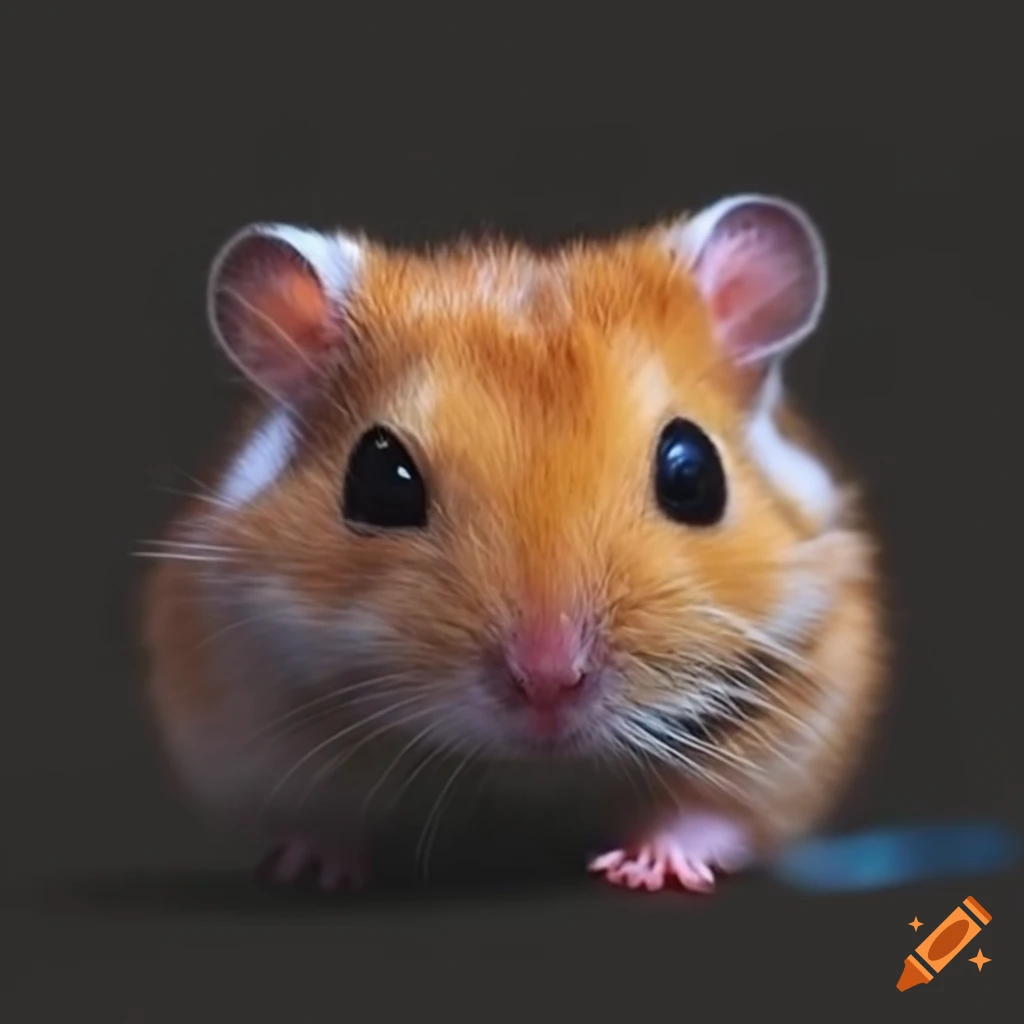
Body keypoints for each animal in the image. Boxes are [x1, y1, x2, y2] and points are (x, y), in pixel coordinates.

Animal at [141, 194, 887, 893]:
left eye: (692, 473)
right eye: (380, 481)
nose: (548, 685)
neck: (526, 772)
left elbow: (709, 815)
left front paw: (644, 870)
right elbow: (320, 817)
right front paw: (311, 869)